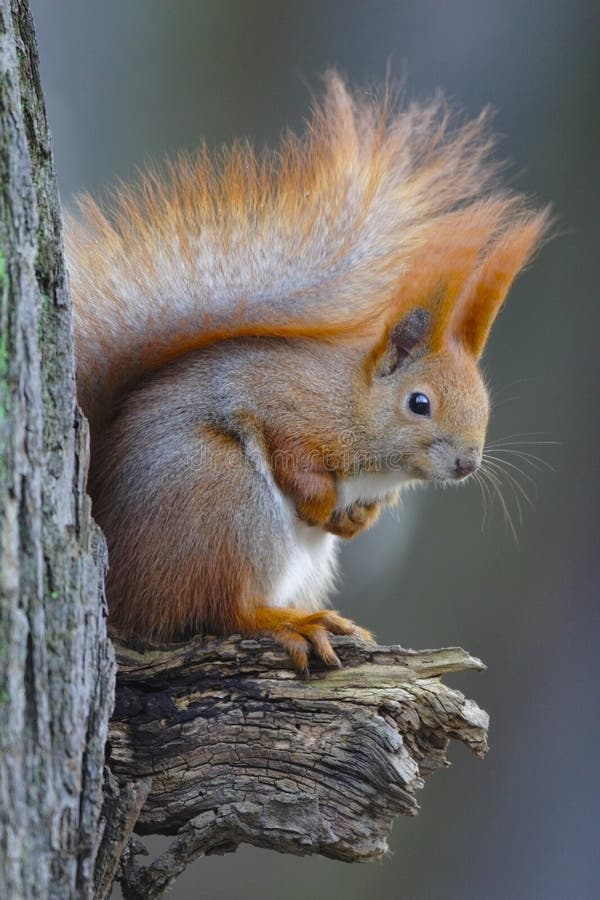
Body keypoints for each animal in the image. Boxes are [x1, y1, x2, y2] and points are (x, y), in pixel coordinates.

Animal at [65, 74, 550, 674]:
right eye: (419, 402)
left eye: (485, 404)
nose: (466, 464)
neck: (355, 404)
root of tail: (123, 588)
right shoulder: (286, 404)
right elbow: (291, 455)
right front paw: (321, 502)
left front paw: (355, 520)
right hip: (221, 498)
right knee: (217, 607)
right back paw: (288, 622)